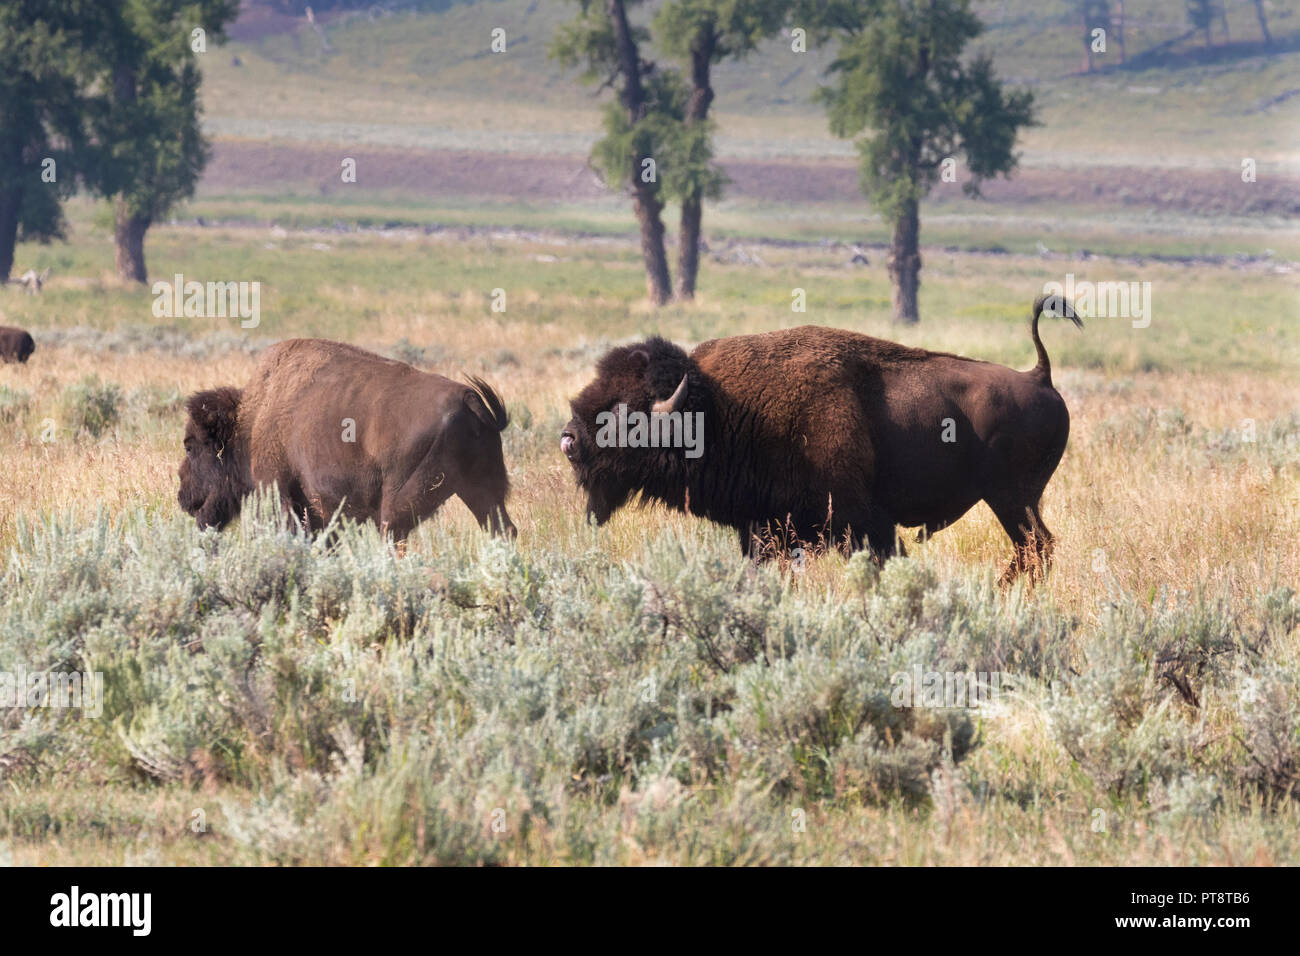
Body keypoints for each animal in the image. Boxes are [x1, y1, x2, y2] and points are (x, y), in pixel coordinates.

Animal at [179, 338, 515, 540]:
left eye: (191, 445)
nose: (183, 494)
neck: (253, 418)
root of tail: (468, 399)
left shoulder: (279, 492)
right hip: (482, 490)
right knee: (503, 529)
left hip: (399, 503)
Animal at [561, 295, 1081, 583]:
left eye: (624, 413)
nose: (568, 439)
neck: (718, 406)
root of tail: (1039, 376)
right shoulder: (762, 530)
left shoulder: (863, 524)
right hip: (1016, 501)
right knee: (1035, 550)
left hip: (1011, 499)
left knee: (1036, 548)